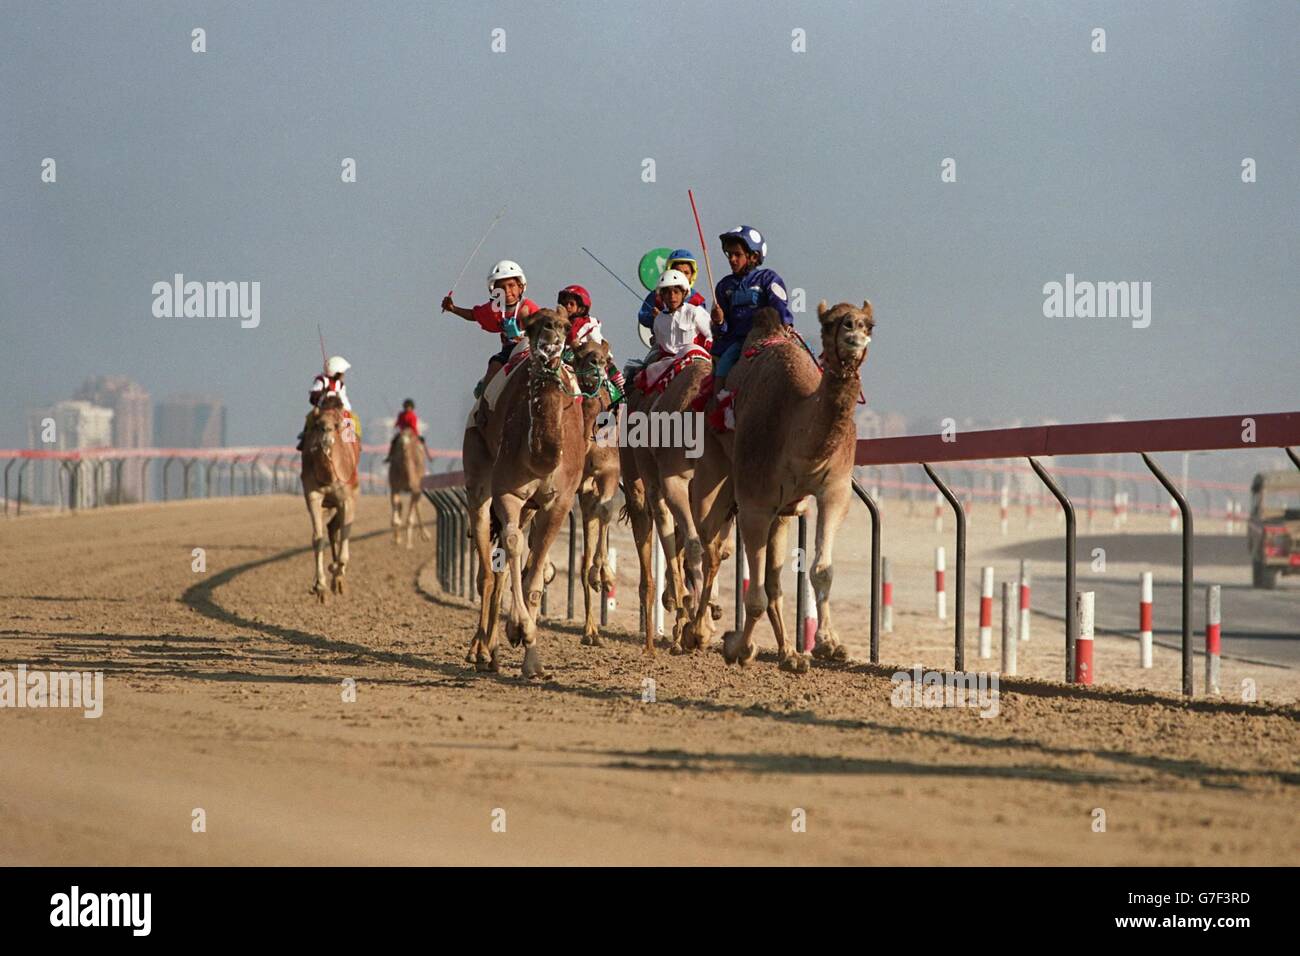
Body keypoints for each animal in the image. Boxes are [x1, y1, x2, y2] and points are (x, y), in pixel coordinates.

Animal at [300, 394, 361, 602]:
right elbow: (317, 539)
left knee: (336, 528)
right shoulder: (313, 495)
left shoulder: (346, 499)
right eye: (318, 424)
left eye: (336, 425)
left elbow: (345, 535)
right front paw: (320, 587)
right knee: (331, 527)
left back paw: (338, 577)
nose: (326, 434)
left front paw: (336, 573)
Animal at [719, 302, 874, 672]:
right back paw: (694, 632)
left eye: (869, 323)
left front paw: (830, 645)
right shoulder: (754, 503)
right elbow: (754, 595)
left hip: (782, 512)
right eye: (830, 323)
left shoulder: (834, 490)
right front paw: (739, 648)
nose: (854, 333)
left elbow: (821, 570)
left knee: (769, 580)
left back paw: (790, 654)